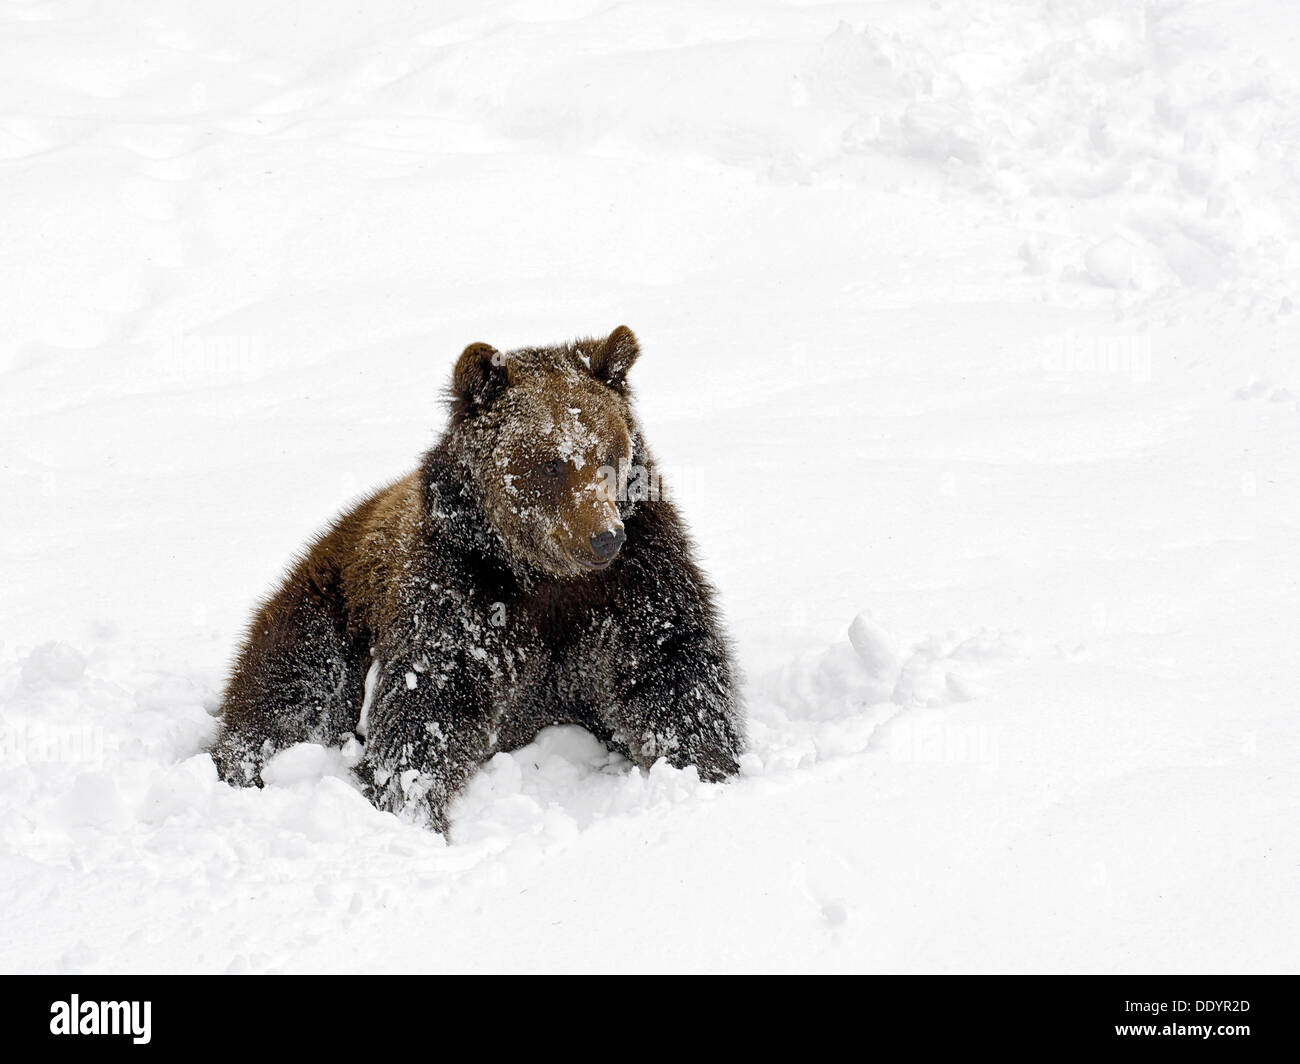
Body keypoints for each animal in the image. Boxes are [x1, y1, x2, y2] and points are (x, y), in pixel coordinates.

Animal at [210, 326, 744, 834]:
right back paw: (247, 764)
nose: (604, 538)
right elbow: (430, 702)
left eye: (609, 453)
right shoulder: (459, 591)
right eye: (551, 462)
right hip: (329, 606)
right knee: (290, 693)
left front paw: (703, 770)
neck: (544, 576)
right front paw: (412, 807)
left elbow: (671, 671)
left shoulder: (636, 578)